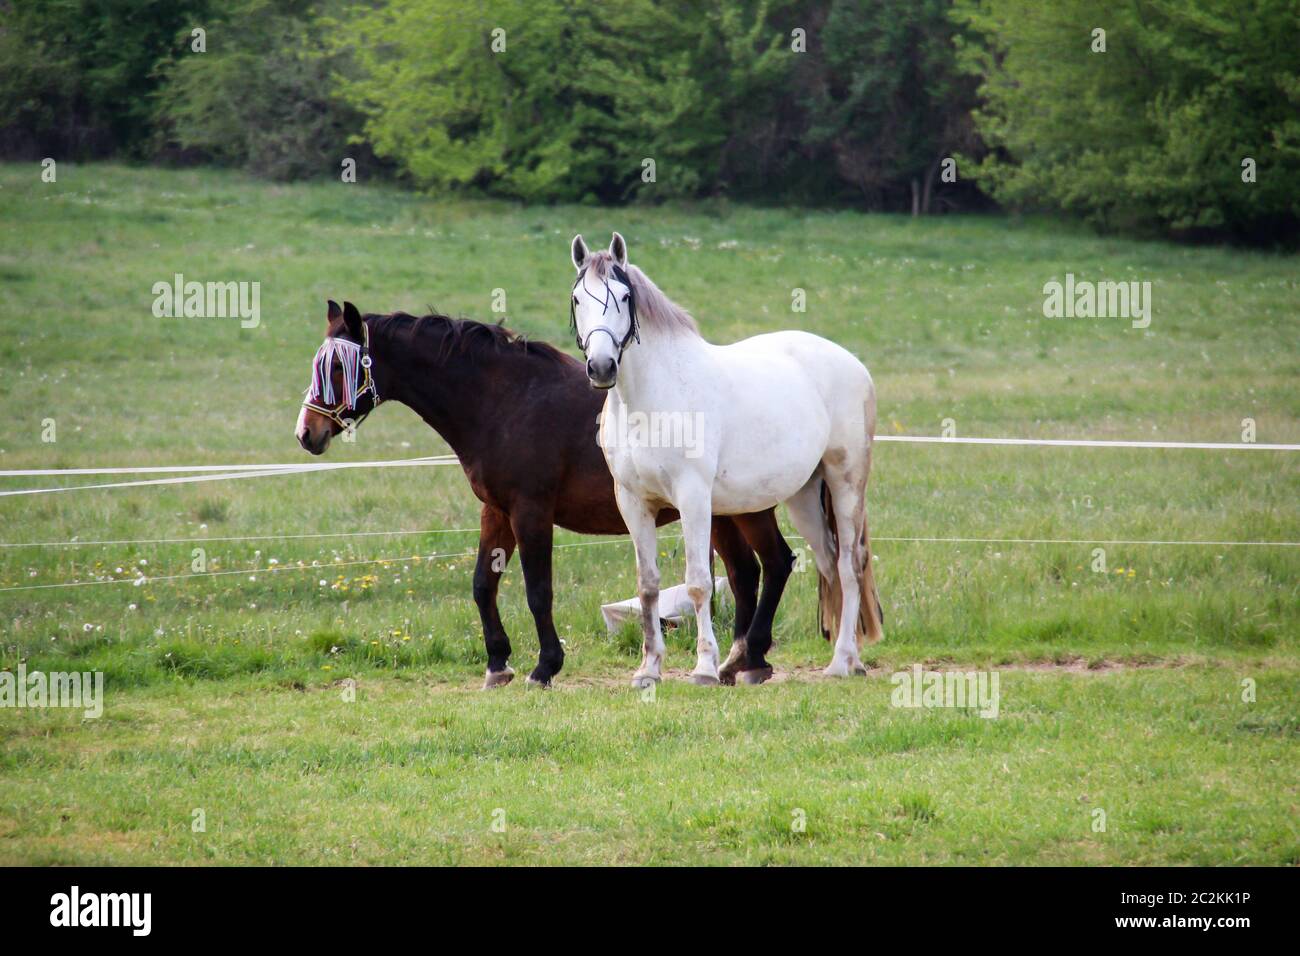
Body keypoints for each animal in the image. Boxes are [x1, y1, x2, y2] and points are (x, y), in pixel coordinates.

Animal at [295, 299, 794, 687]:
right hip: (723, 512)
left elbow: (538, 590)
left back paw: (751, 659)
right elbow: (483, 584)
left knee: (774, 563)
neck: (505, 400)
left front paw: (545, 666)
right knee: (747, 572)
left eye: (336, 366)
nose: (307, 433)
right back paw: (737, 661)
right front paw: (497, 664)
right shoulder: (496, 511)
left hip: (743, 509)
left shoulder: (529, 511)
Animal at [568, 233, 884, 687]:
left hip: (846, 482)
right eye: (577, 299)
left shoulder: (693, 498)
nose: (601, 366)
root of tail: (854, 364)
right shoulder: (632, 502)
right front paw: (649, 670)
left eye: (625, 297)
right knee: (827, 562)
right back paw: (838, 657)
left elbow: (699, 583)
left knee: (848, 563)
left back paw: (842, 662)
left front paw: (703, 668)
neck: (651, 397)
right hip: (803, 495)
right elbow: (648, 586)